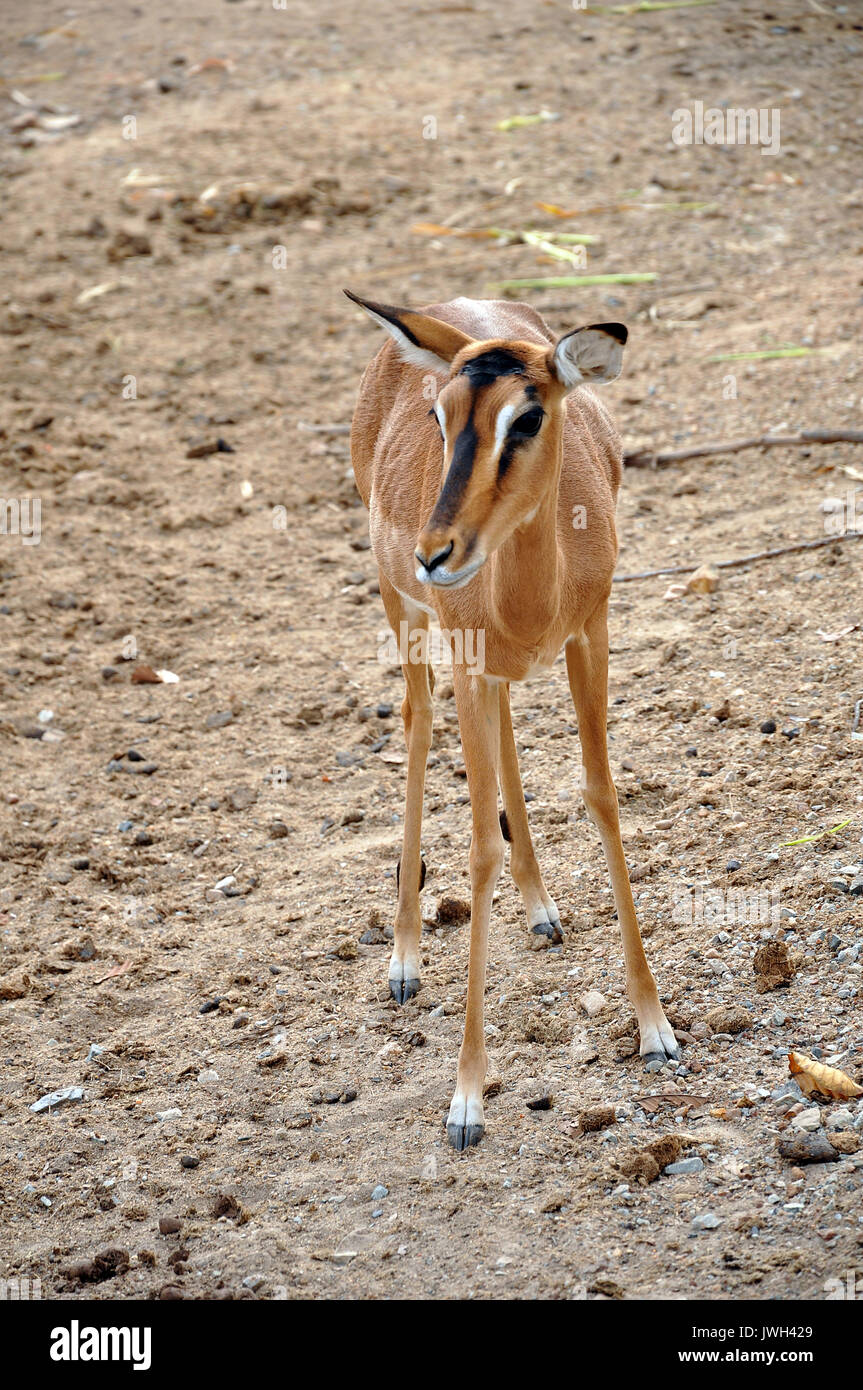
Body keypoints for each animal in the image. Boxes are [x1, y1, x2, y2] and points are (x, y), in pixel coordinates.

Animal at [346, 290, 680, 1150]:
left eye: (527, 418)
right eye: (439, 415)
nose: (436, 551)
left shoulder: (590, 634)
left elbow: (602, 799)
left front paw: (655, 1028)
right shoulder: (466, 659)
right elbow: (475, 848)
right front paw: (465, 1100)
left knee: (503, 744)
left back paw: (541, 911)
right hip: (405, 616)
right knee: (415, 722)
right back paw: (403, 961)